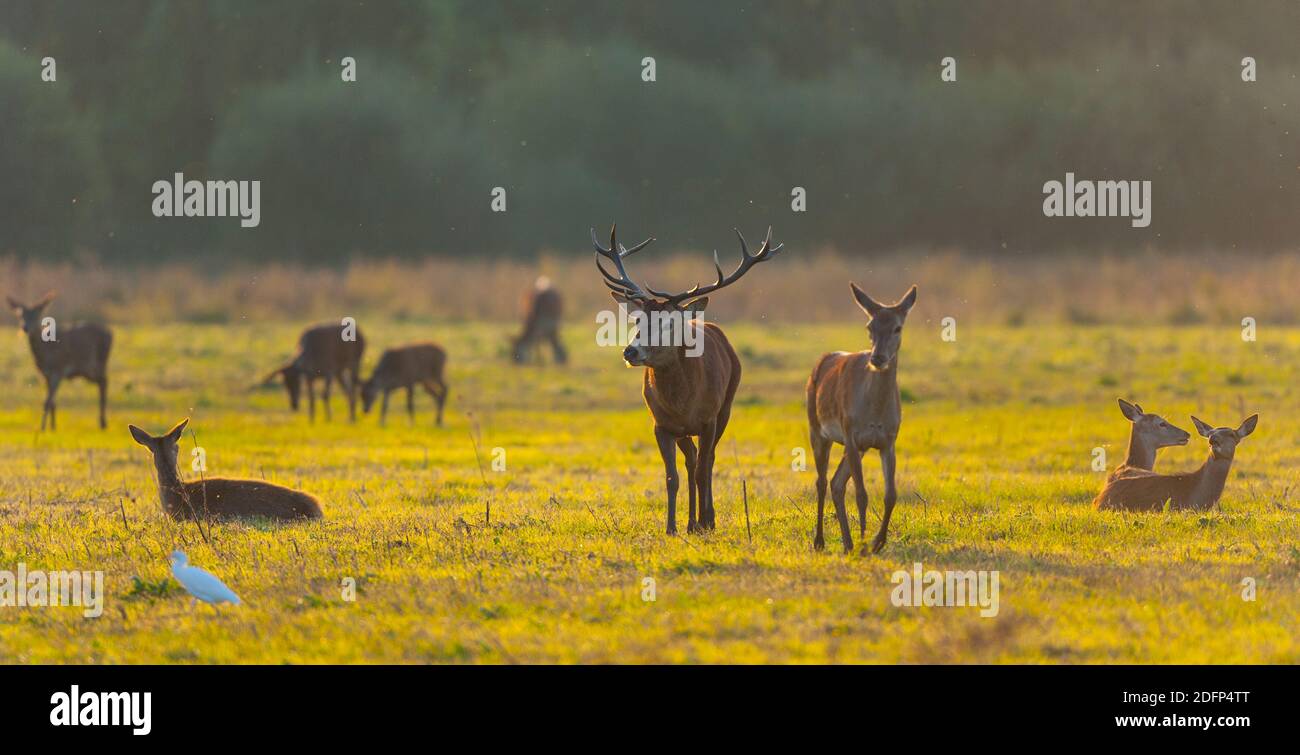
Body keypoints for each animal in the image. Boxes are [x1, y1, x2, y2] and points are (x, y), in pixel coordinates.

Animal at [8, 293, 112, 431]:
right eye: (20, 315)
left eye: (37, 313)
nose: (25, 327)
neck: (44, 355)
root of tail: (111, 333)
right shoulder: (45, 375)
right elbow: (52, 402)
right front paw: (52, 427)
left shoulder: (59, 370)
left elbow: (47, 401)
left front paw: (42, 428)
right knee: (102, 382)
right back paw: (102, 422)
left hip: (97, 363)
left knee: (104, 381)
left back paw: (103, 422)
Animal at [594, 224, 784, 535]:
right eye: (637, 320)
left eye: (669, 322)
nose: (630, 351)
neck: (683, 403)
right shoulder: (661, 425)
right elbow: (672, 477)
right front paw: (671, 526)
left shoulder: (709, 419)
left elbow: (703, 470)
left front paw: (708, 520)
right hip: (684, 430)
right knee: (691, 459)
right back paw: (692, 522)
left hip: (726, 407)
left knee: (706, 461)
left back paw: (706, 519)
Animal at [806, 283, 918, 554]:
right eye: (870, 326)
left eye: (897, 327)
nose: (877, 358)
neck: (874, 413)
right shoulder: (851, 433)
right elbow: (861, 494)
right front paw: (865, 543)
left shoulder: (887, 441)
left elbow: (891, 495)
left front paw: (877, 542)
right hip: (818, 428)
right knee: (822, 482)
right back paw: (820, 541)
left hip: (857, 445)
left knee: (836, 483)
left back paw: (847, 543)